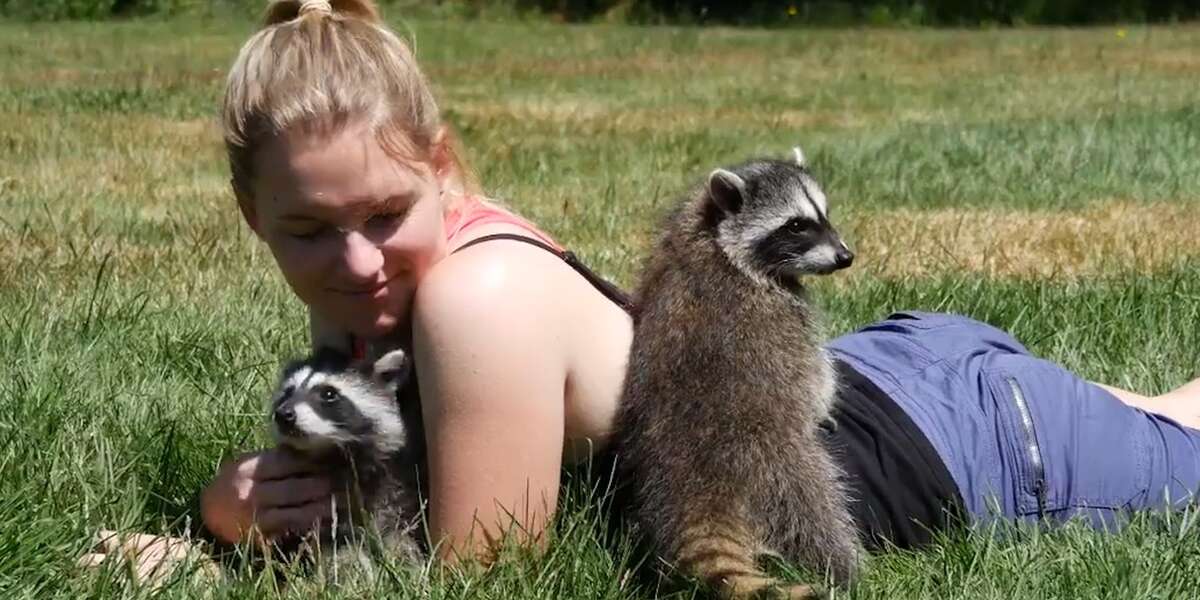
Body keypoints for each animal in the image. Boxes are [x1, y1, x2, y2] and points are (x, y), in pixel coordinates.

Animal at [269, 347, 425, 567]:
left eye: (328, 393)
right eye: (287, 393)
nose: (283, 415)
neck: (334, 451)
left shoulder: (396, 482)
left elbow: (397, 525)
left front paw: (405, 559)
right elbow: (336, 541)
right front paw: (351, 568)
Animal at [614, 148, 862, 599]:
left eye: (824, 214)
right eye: (796, 225)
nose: (845, 257)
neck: (716, 241)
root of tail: (700, 479)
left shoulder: (674, 235)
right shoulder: (785, 313)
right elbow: (817, 373)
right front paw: (823, 407)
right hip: (784, 474)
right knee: (819, 519)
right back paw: (846, 568)